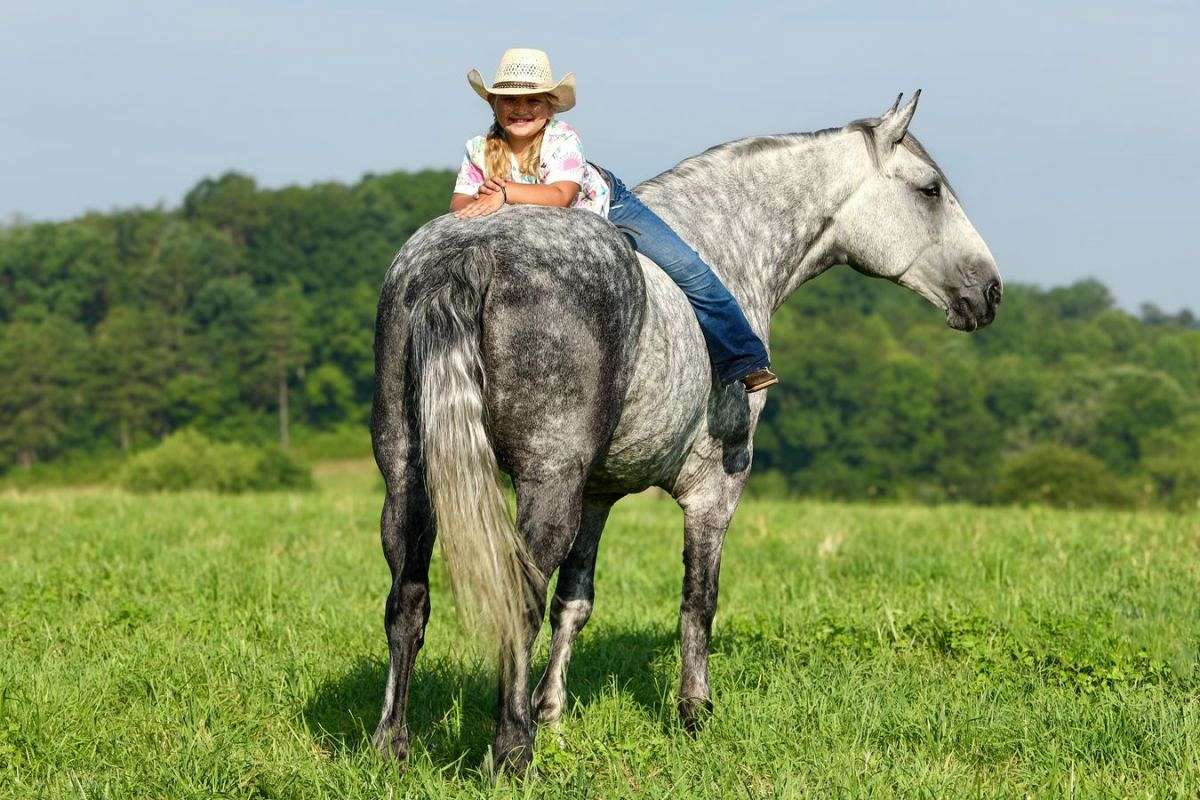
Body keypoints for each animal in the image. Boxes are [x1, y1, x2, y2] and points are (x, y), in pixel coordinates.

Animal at [369, 92, 1002, 772]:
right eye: (930, 190)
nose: (990, 291)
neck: (724, 243)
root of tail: (464, 261)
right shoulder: (712, 495)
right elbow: (698, 604)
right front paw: (694, 713)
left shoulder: (596, 493)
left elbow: (575, 602)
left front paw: (553, 713)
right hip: (545, 483)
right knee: (517, 602)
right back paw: (512, 752)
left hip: (409, 476)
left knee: (409, 601)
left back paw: (393, 746)